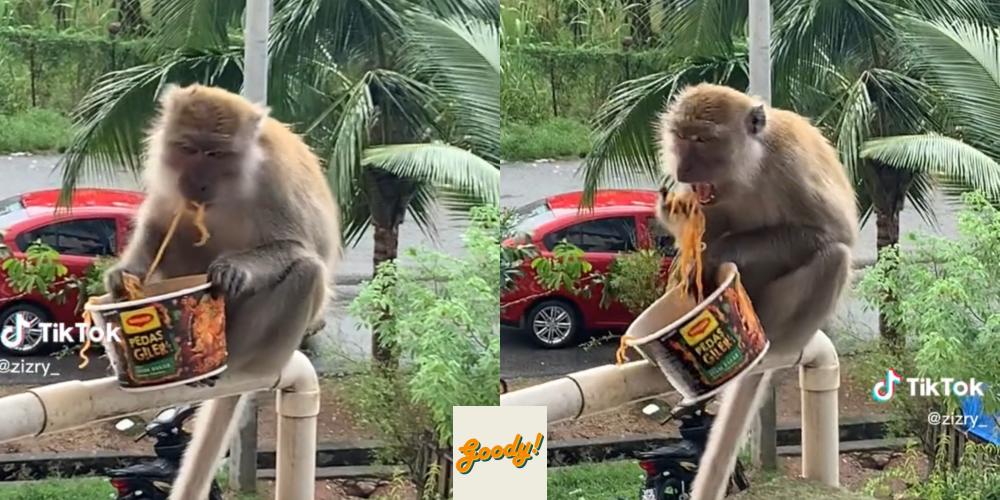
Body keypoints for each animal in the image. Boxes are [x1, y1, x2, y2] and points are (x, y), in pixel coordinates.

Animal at [104, 83, 340, 500]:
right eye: (187, 148)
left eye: (214, 153)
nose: (196, 182)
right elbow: (159, 221)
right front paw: (123, 277)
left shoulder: (273, 179)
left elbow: (299, 247)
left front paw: (235, 269)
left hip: (268, 344)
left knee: (307, 272)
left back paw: (230, 360)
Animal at [654, 83, 858, 500]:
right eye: (679, 137)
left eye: (702, 139)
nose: (682, 170)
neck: (749, 169)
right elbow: (697, 231)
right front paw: (685, 250)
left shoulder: (791, 166)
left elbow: (831, 232)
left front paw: (716, 254)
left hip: (778, 313)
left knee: (834, 256)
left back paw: (774, 344)